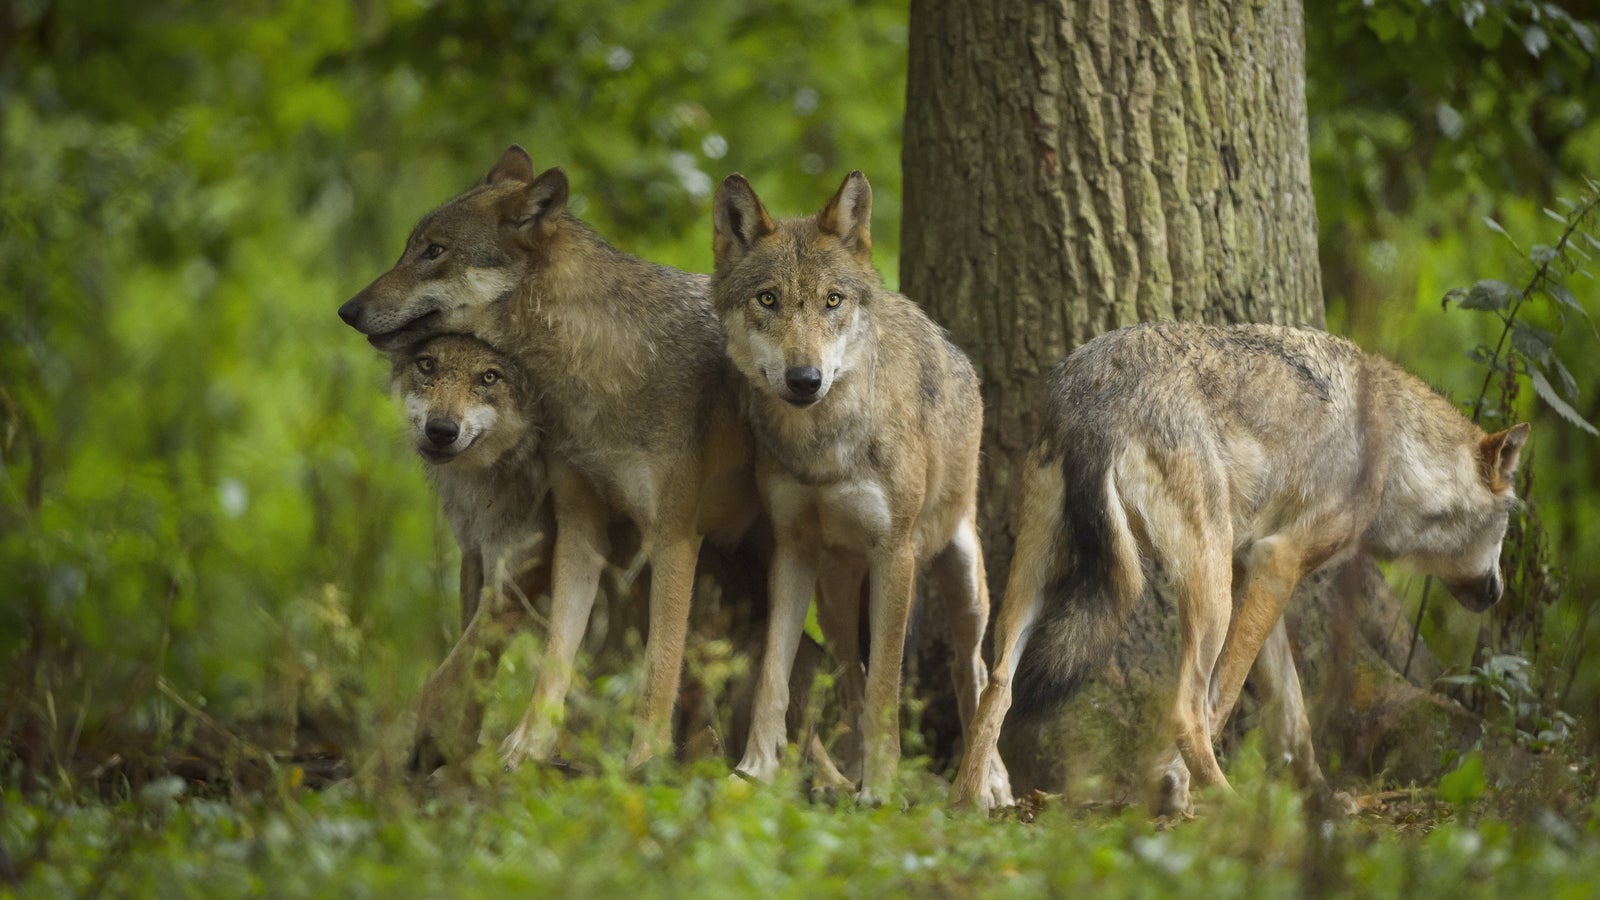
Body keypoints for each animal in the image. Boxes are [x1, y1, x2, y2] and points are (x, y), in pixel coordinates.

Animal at [343, 146, 774, 771]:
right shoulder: (577, 528)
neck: (598, 369)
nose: (347, 310)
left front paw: (642, 762)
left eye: (435, 251)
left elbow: (657, 667)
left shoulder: (672, 538)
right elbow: (553, 654)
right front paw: (526, 746)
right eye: (410, 247)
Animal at [711, 170, 1012, 806]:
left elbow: (887, 691)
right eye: (768, 299)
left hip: (964, 580)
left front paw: (881, 790)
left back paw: (989, 785)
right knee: (852, 673)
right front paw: (754, 770)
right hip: (835, 597)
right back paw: (845, 774)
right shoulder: (793, 549)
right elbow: (775, 674)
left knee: (972, 672)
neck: (822, 448)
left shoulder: (894, 553)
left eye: (832, 300)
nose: (805, 379)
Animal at [950, 321, 1530, 813]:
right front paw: (1174, 788)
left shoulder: (1255, 569)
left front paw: (1322, 798)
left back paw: (968, 802)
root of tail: (1097, 389)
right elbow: (1223, 700)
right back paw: (1227, 801)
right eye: (1509, 525)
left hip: (1035, 581)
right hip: (1210, 601)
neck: (1398, 450)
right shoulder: (1280, 562)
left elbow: (1293, 716)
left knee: (996, 687)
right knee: (1186, 709)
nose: (1499, 594)